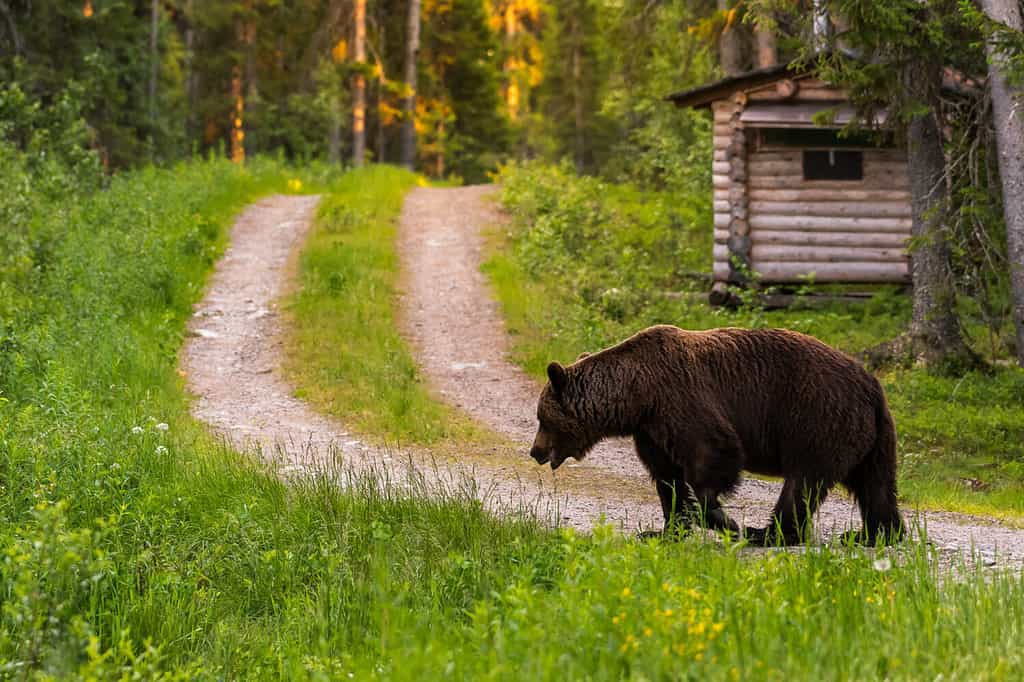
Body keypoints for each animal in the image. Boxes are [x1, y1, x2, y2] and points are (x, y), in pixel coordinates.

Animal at [528, 325, 905, 545]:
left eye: (542, 418)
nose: (535, 451)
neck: (638, 395)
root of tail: (872, 385)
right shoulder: (651, 430)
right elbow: (666, 478)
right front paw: (663, 530)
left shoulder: (682, 399)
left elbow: (713, 453)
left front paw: (723, 520)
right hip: (870, 437)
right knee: (875, 483)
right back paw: (874, 534)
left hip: (816, 421)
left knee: (802, 484)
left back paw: (766, 533)